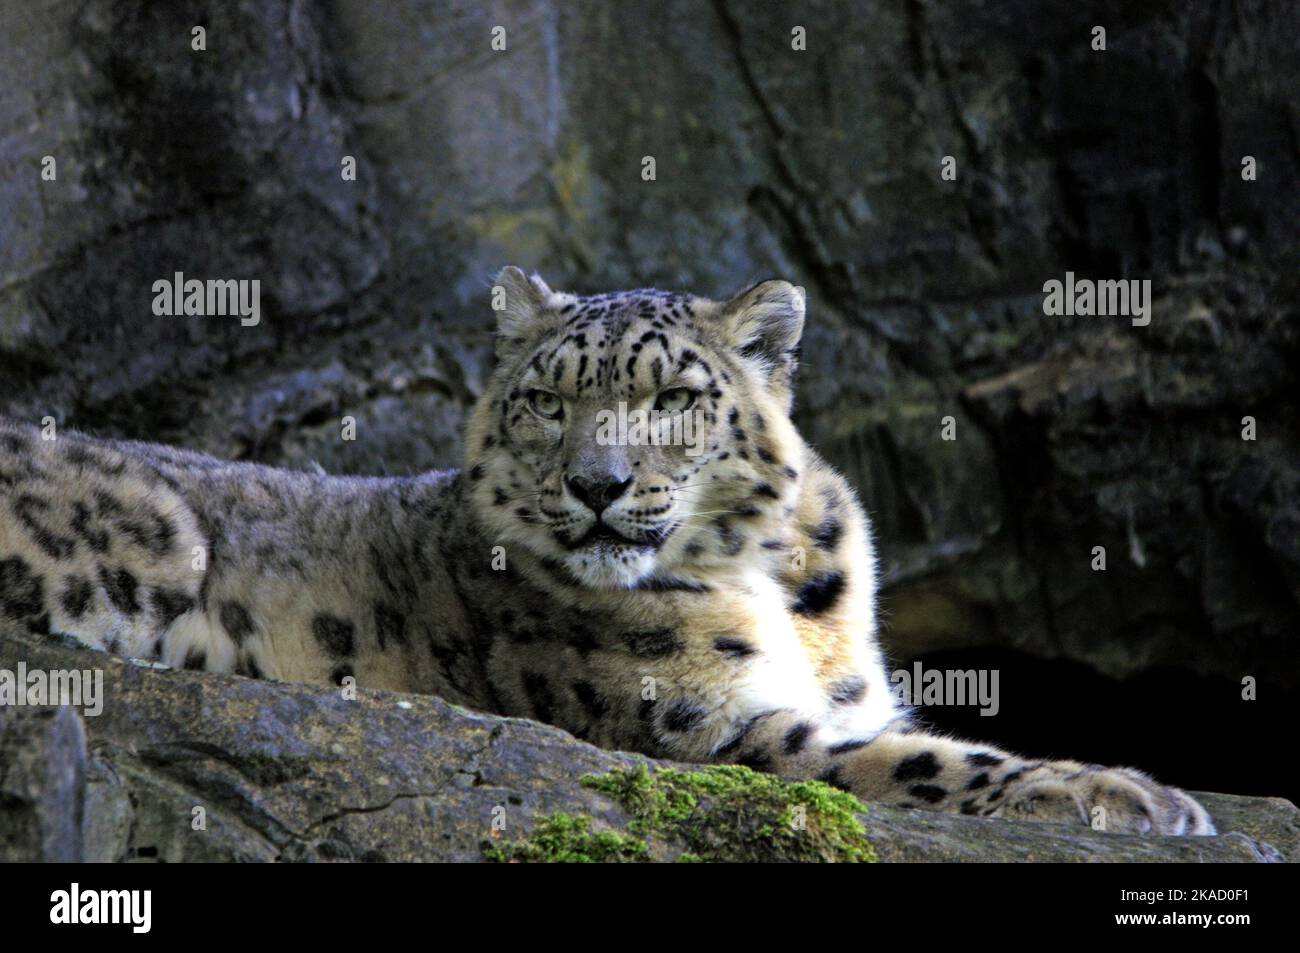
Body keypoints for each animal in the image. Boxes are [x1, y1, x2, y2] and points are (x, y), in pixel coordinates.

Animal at [0, 266, 1214, 837]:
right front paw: (1130, 793)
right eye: (545, 401)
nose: (597, 484)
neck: (780, 592)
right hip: (152, 534)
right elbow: (924, 761)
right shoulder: (702, 733)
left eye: (672, 398)